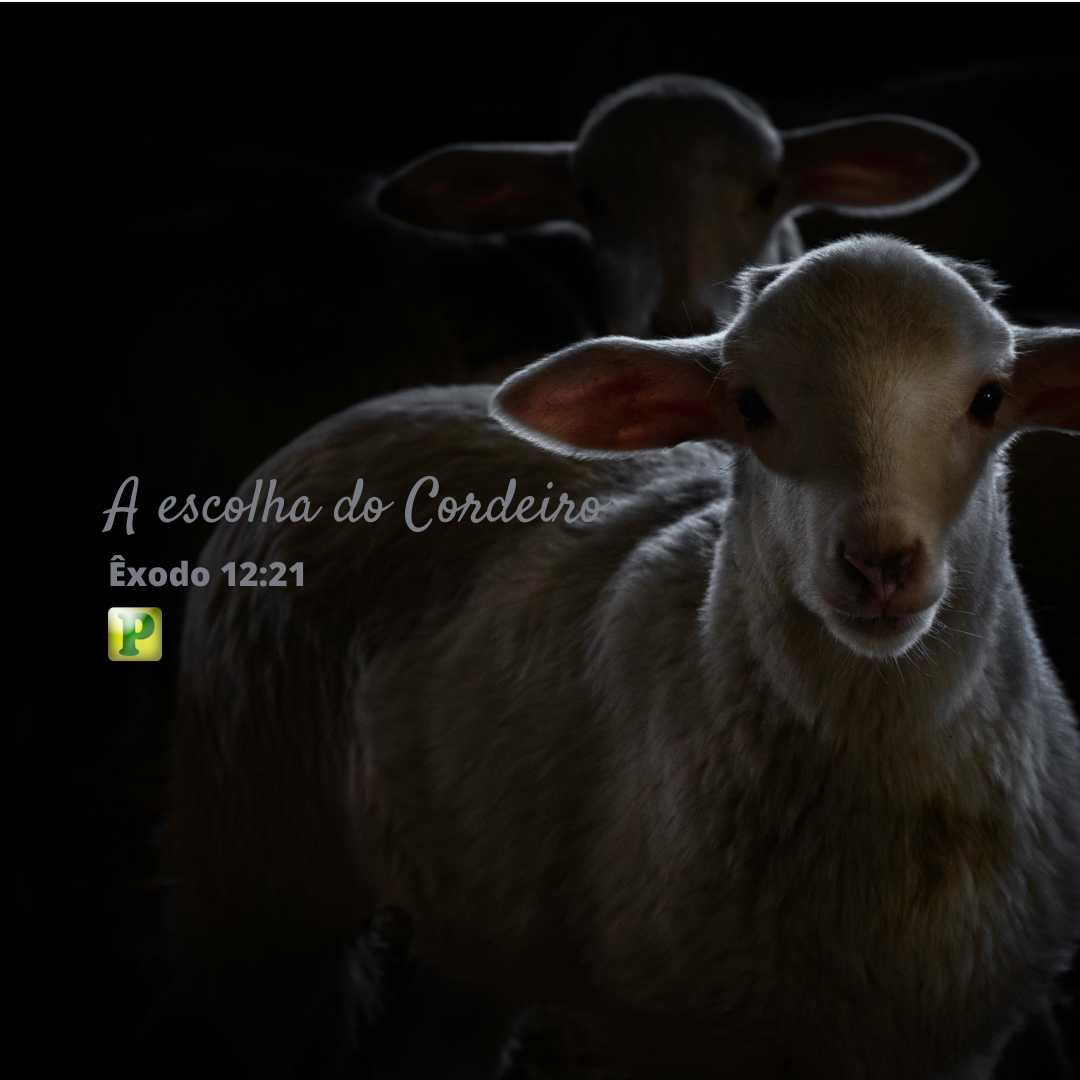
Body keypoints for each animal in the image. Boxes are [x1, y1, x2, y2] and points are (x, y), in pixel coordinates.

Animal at [172, 235, 1080, 1079]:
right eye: (749, 404)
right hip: (250, 857)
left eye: (989, 399)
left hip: (467, 915)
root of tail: (378, 405)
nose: (879, 563)